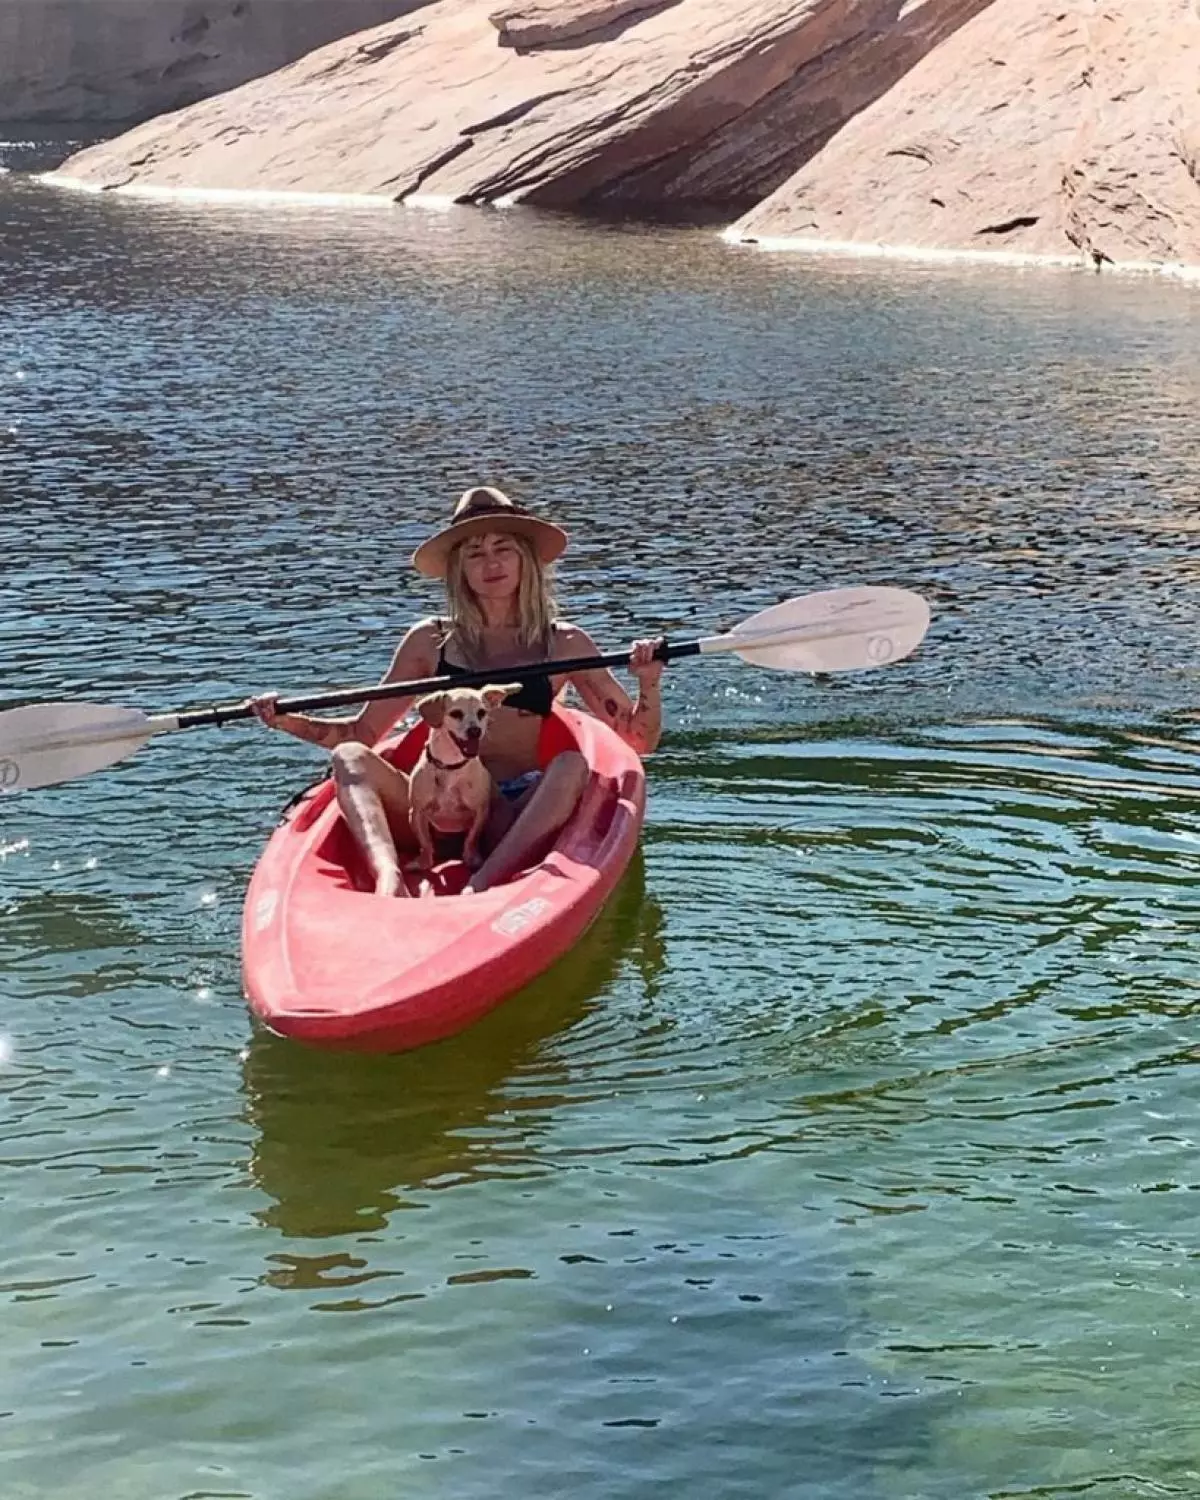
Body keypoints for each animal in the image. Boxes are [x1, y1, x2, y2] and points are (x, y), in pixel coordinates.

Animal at [408, 684, 519, 876]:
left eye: (482, 712)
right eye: (455, 713)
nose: (475, 731)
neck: (450, 766)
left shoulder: (480, 812)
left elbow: (472, 838)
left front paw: (471, 858)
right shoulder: (417, 812)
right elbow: (425, 842)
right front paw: (423, 862)